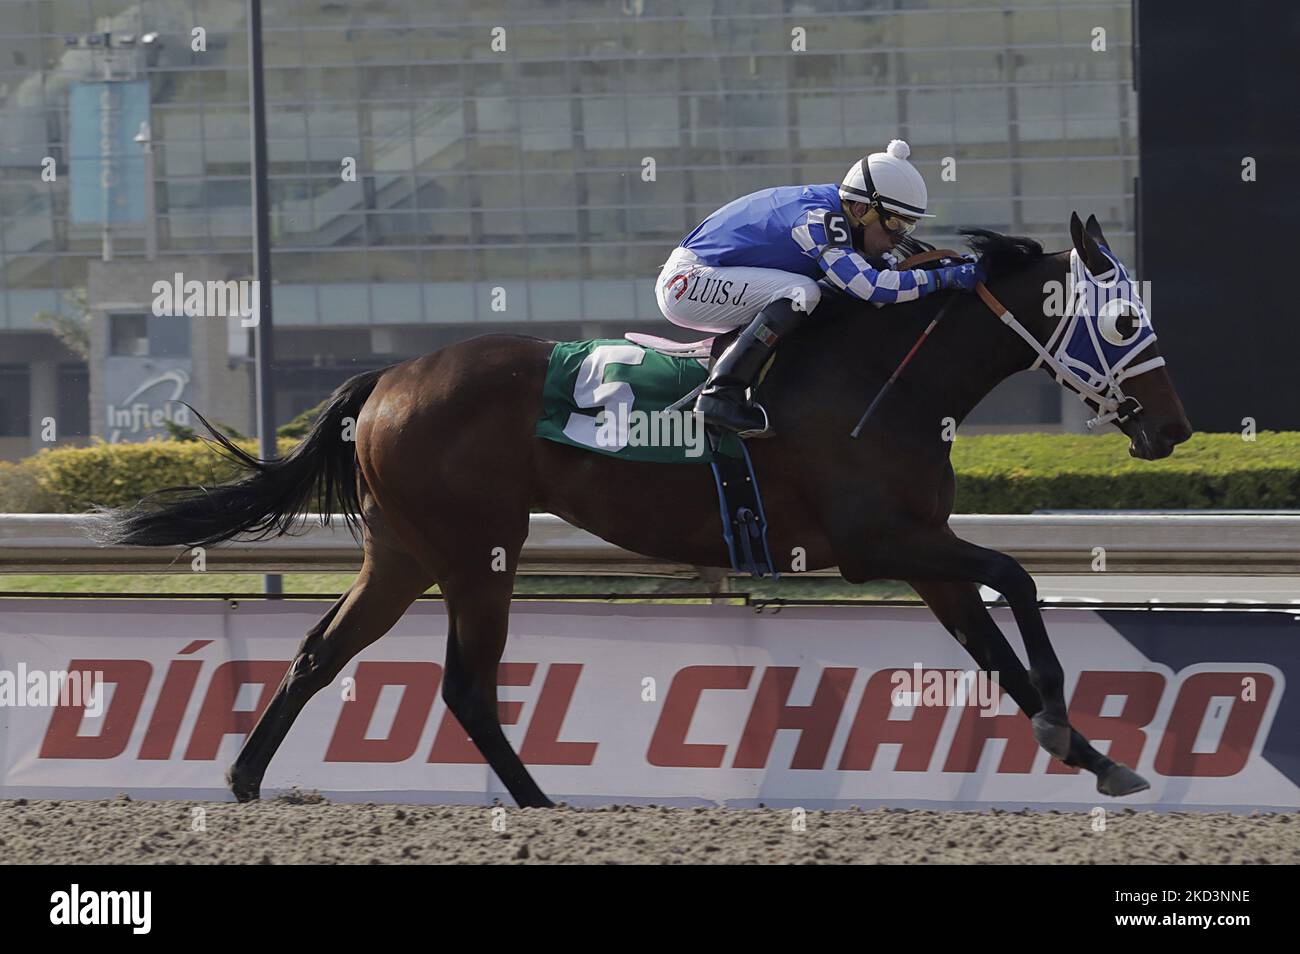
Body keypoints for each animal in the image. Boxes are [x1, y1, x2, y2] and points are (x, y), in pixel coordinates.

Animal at [96, 214, 1190, 805]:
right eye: (1125, 320)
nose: (1175, 428)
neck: (888, 376)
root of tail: (393, 374)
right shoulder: (877, 542)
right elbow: (1020, 579)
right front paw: (1068, 725)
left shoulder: (922, 552)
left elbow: (997, 651)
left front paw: (1095, 759)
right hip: (476, 552)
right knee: (467, 688)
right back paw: (542, 805)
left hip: (401, 554)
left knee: (320, 654)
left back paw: (245, 782)